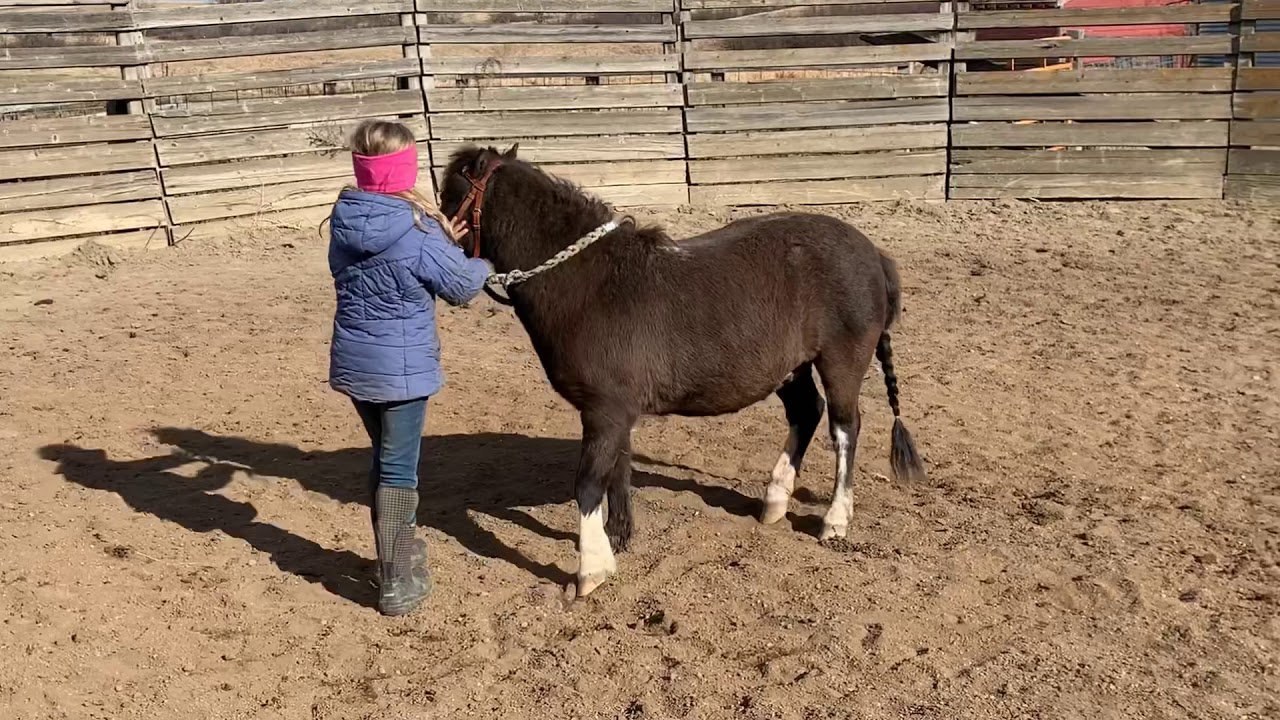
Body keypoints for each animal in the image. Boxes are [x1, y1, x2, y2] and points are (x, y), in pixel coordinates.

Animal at [438, 145, 928, 598]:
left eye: (451, 194)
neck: (591, 283)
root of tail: (872, 253)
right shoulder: (616, 411)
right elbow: (617, 470)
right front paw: (618, 539)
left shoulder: (604, 410)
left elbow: (589, 483)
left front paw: (591, 570)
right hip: (791, 369)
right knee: (806, 412)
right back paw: (774, 500)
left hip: (841, 360)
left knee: (844, 426)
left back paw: (835, 519)